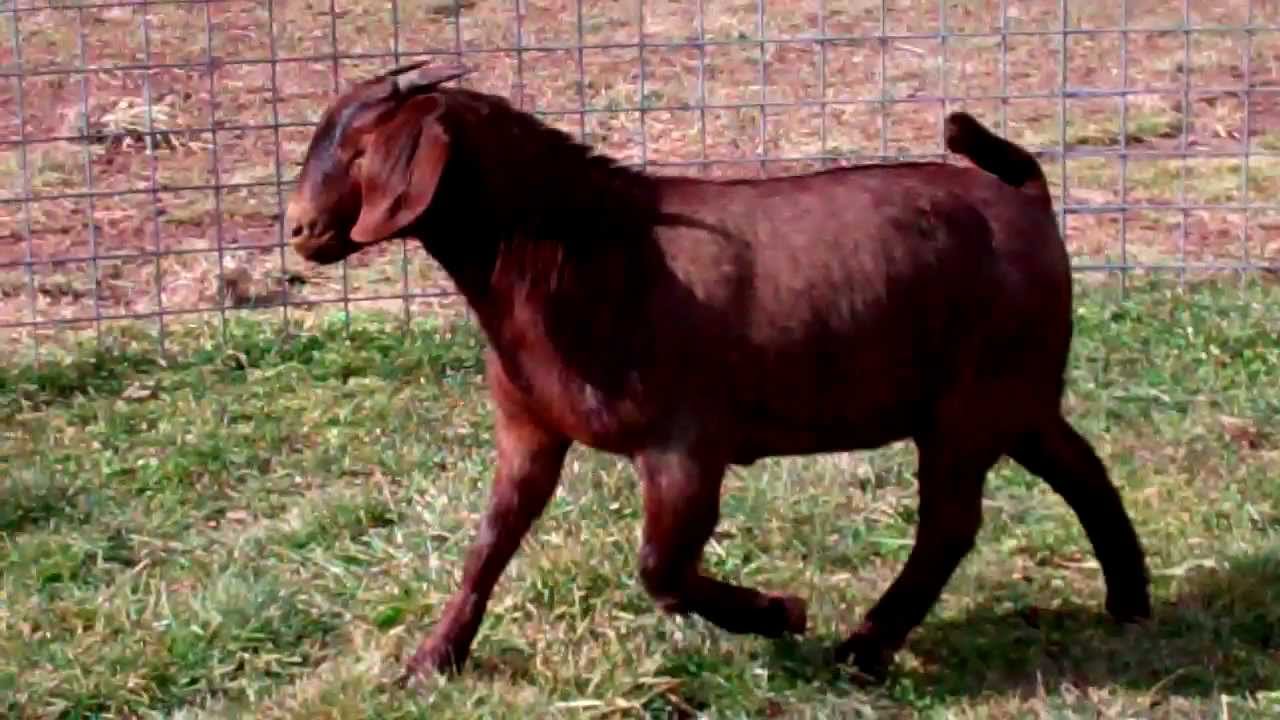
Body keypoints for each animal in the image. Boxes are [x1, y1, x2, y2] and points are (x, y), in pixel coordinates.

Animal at [284, 61, 1152, 685]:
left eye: (358, 153)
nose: (298, 228)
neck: (582, 253)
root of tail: (1029, 197)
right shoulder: (530, 430)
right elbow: (492, 540)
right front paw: (431, 661)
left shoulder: (685, 446)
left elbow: (661, 570)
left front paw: (780, 614)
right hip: (1016, 393)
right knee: (1079, 467)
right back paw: (1129, 600)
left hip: (970, 402)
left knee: (951, 521)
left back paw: (864, 650)